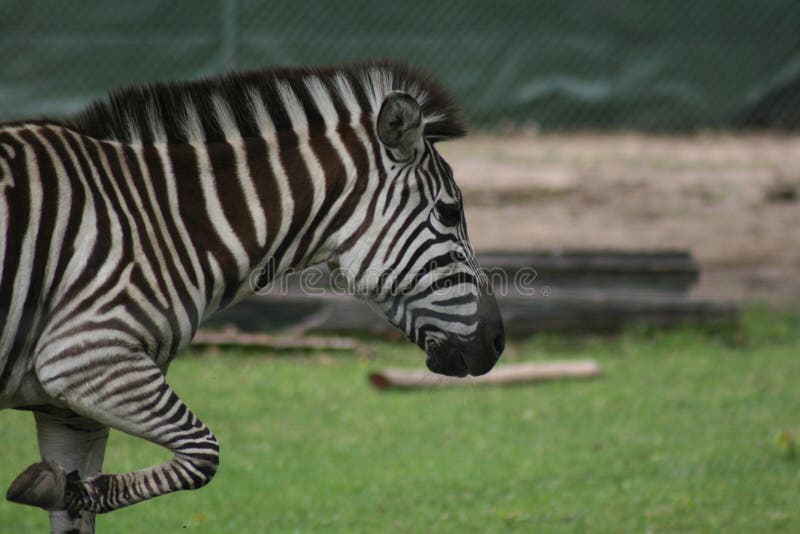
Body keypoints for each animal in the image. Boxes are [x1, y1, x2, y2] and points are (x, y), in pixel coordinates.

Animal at [0, 60, 505, 532]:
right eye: (450, 211)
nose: (498, 342)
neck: (169, 222)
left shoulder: (68, 410)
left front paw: (64, 487)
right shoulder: (88, 357)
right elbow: (205, 454)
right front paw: (61, 486)